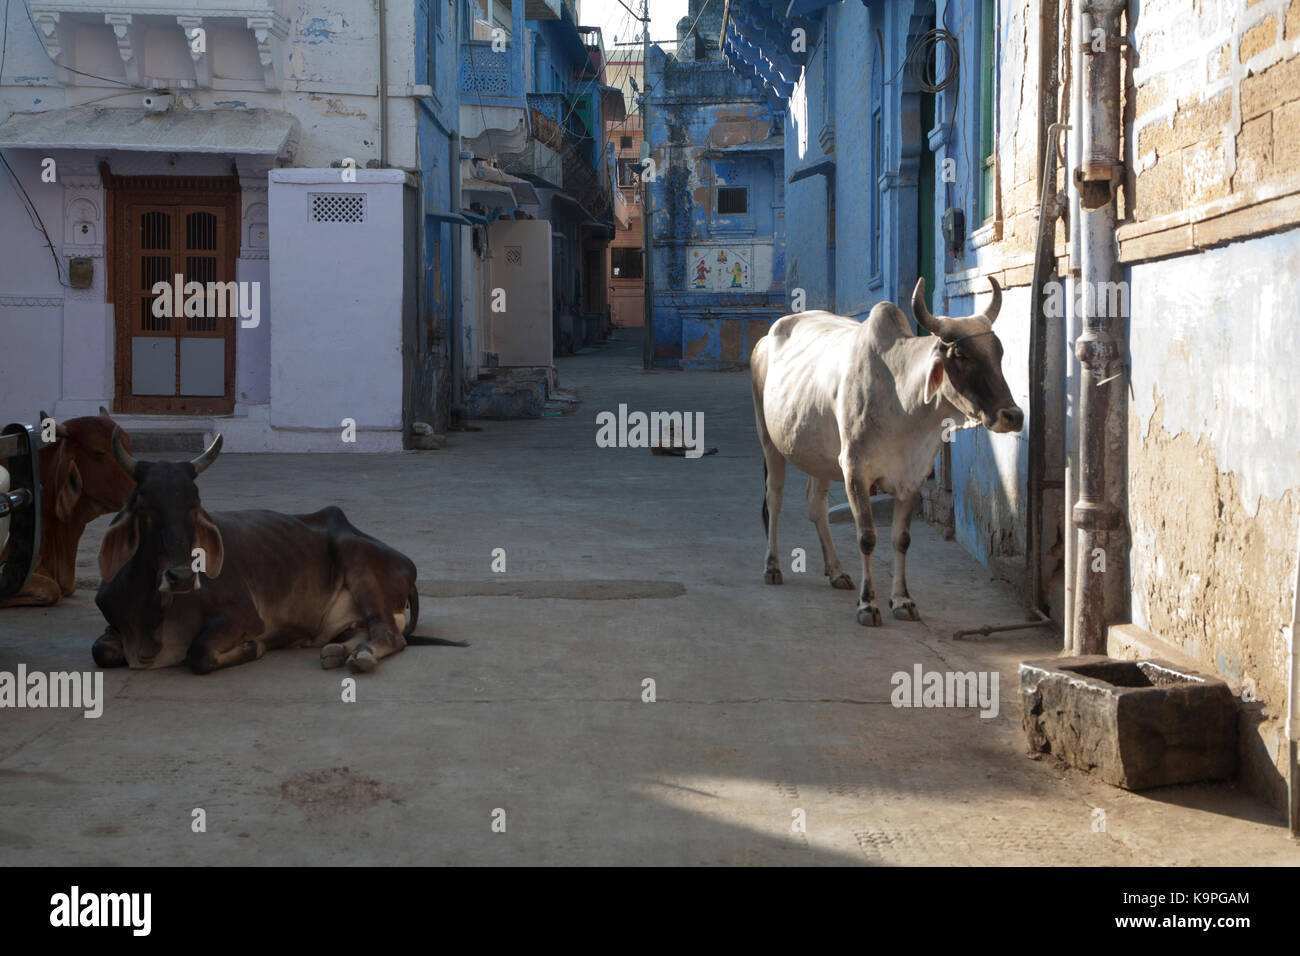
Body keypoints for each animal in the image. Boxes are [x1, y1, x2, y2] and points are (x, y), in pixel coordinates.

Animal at [92, 430, 463, 674]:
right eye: (144, 504)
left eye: (194, 505)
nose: (182, 576)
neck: (153, 614)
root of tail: (405, 563)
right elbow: (101, 652)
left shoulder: (244, 616)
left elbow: (198, 653)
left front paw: (254, 647)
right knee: (363, 631)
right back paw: (336, 651)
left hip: (363, 568)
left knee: (388, 633)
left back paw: (362, 656)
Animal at [750, 277, 1023, 626]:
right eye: (961, 355)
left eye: (998, 352)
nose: (1012, 416)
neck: (903, 403)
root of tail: (765, 340)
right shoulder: (855, 470)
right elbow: (867, 537)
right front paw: (868, 604)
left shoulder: (912, 476)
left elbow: (901, 540)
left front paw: (902, 600)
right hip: (769, 439)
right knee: (774, 499)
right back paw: (772, 566)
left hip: (821, 455)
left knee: (816, 505)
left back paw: (836, 571)